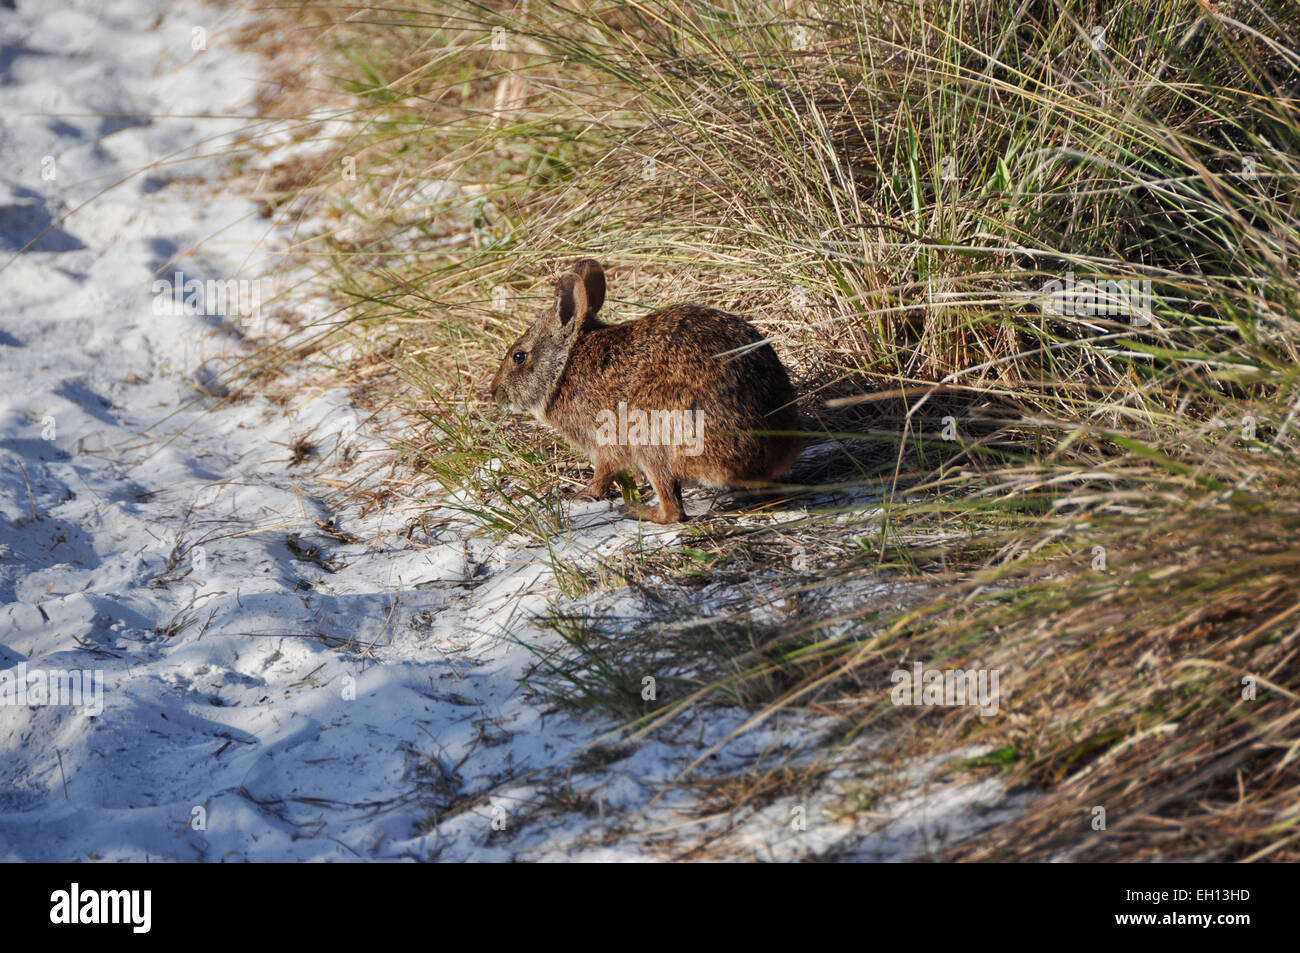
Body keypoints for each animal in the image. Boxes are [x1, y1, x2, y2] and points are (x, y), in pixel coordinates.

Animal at [488, 259, 805, 523]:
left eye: (519, 356)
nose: (494, 393)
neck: (563, 368)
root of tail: (762, 456)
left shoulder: (604, 441)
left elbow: (603, 472)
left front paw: (582, 493)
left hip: (653, 439)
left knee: (673, 511)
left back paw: (636, 511)